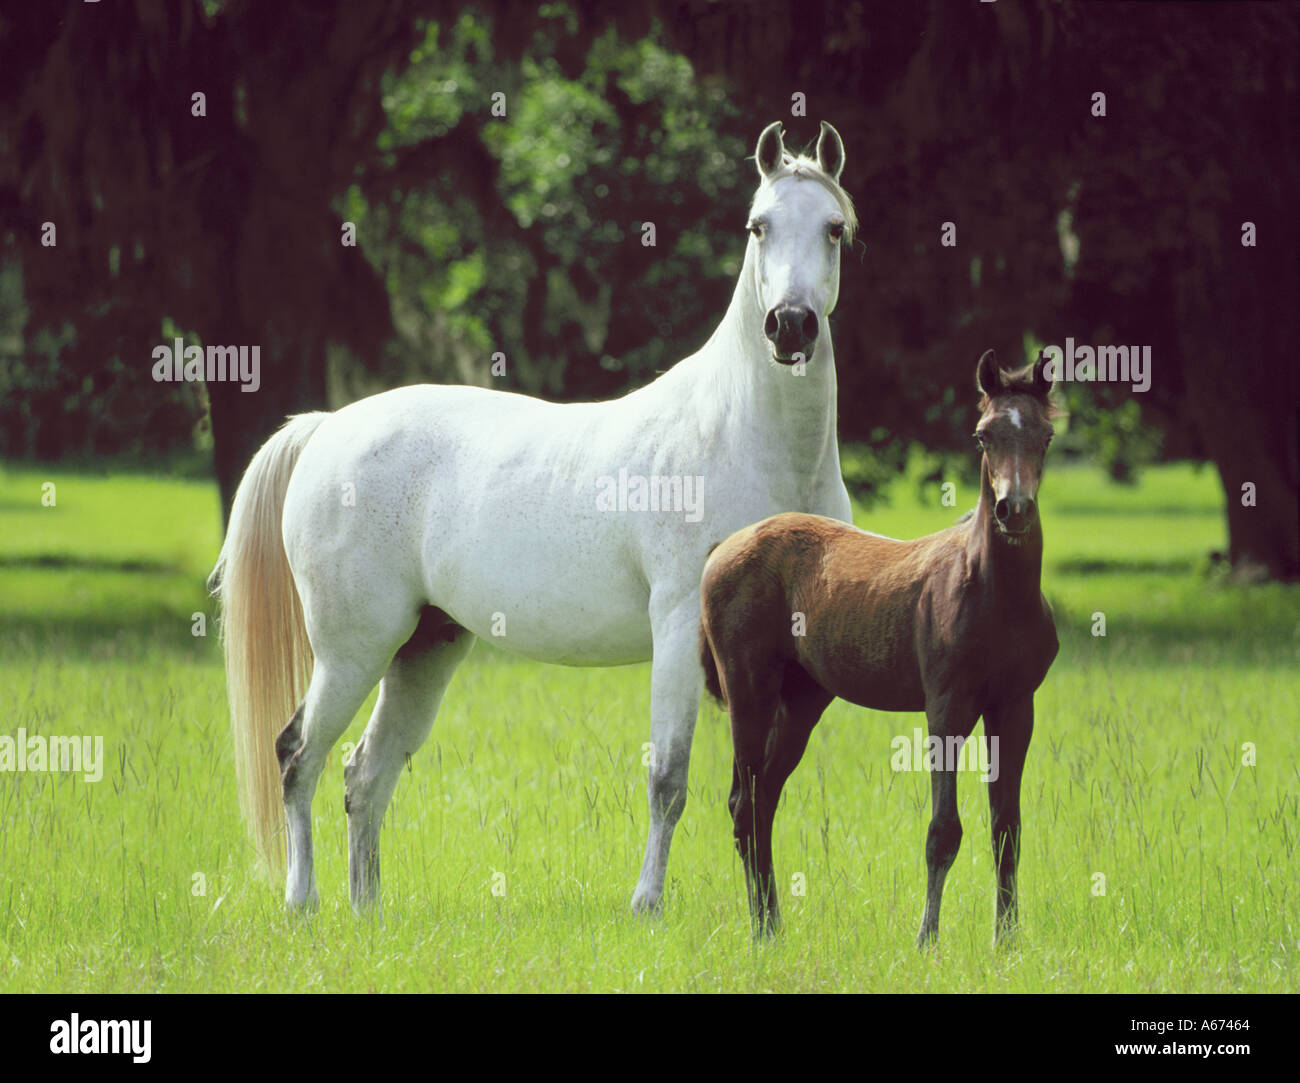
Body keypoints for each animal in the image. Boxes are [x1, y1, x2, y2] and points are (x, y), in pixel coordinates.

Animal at [209, 120, 860, 915]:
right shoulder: (678, 625)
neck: (742, 435)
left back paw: (369, 913)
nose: (790, 326)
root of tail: (328, 427)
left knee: (366, 772)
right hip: (352, 649)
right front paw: (647, 906)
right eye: (757, 225)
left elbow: (758, 786)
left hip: (424, 649)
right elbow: (668, 779)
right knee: (297, 756)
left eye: (834, 229)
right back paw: (302, 902)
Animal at [698, 350, 1060, 945]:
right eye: (983, 435)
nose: (1014, 510)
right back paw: (762, 931)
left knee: (764, 800)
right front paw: (927, 940)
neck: (993, 592)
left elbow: (1007, 828)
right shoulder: (946, 707)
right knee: (743, 802)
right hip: (748, 689)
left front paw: (1006, 942)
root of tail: (724, 546)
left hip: (803, 701)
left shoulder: (1015, 707)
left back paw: (773, 924)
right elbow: (944, 830)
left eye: (1047, 436)